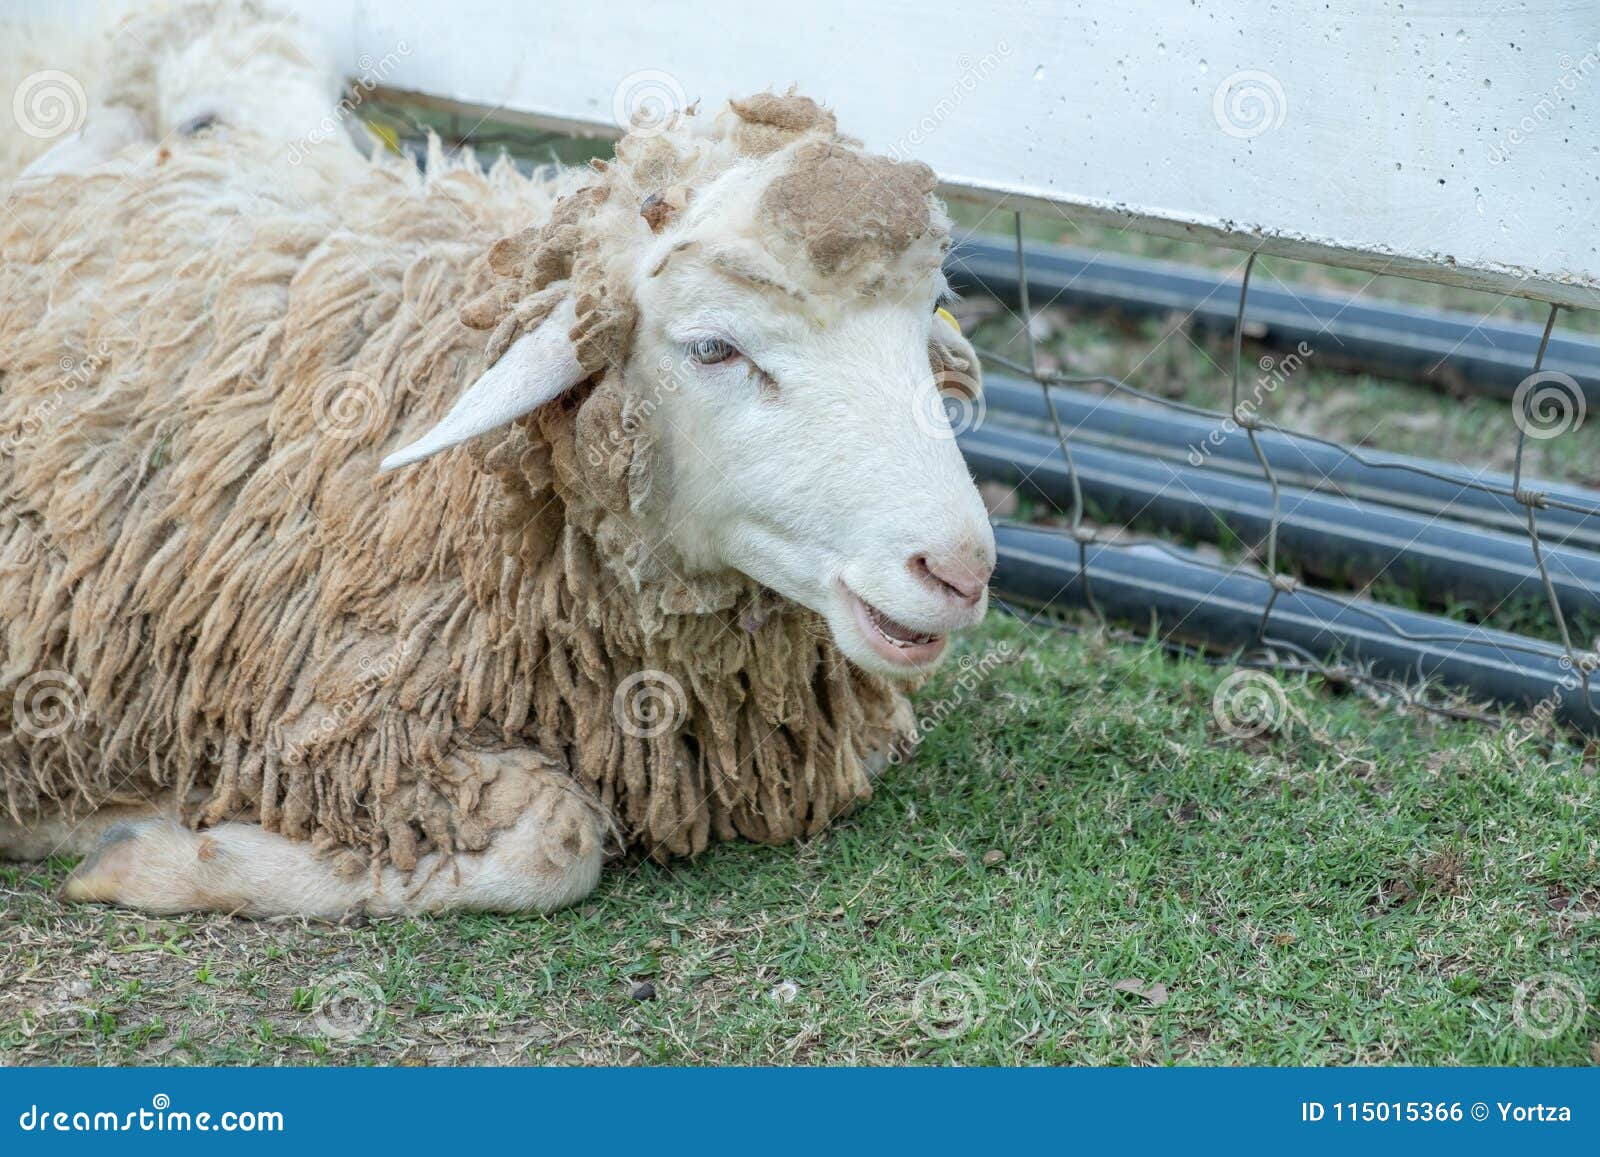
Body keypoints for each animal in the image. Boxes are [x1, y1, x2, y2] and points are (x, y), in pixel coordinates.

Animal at [0, 7, 996, 916]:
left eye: (925, 316)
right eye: (714, 346)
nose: (958, 569)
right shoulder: (346, 709)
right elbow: (554, 842)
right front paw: (145, 847)